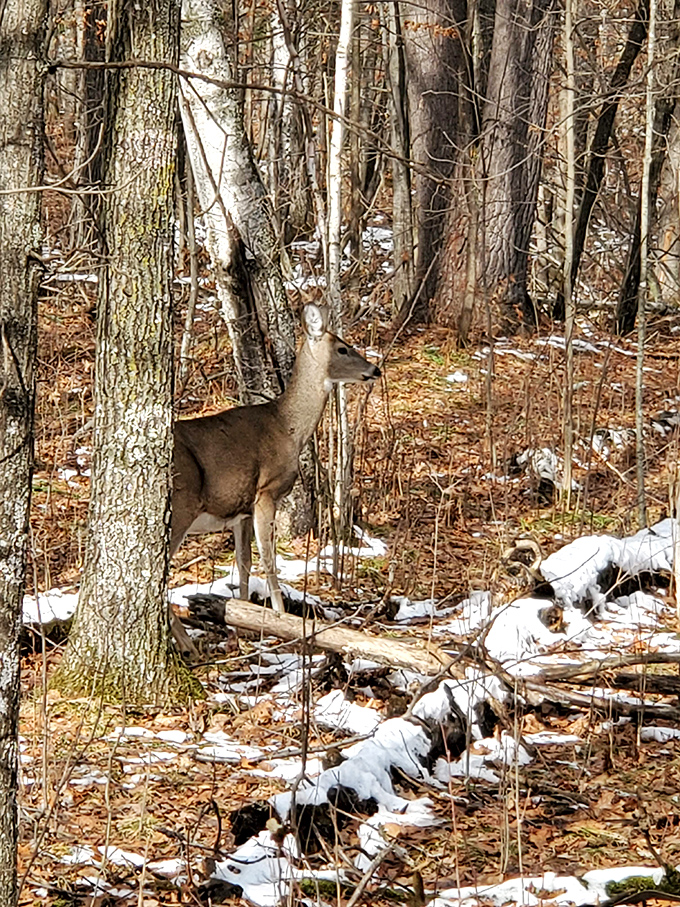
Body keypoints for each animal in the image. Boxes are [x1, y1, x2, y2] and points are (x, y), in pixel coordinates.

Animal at [169, 303, 381, 655]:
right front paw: (280, 618)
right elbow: (270, 560)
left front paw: (241, 621)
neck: (288, 428)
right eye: (342, 348)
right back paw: (186, 644)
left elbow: (243, 564)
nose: (374, 370)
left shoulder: (241, 510)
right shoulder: (266, 491)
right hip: (180, 508)